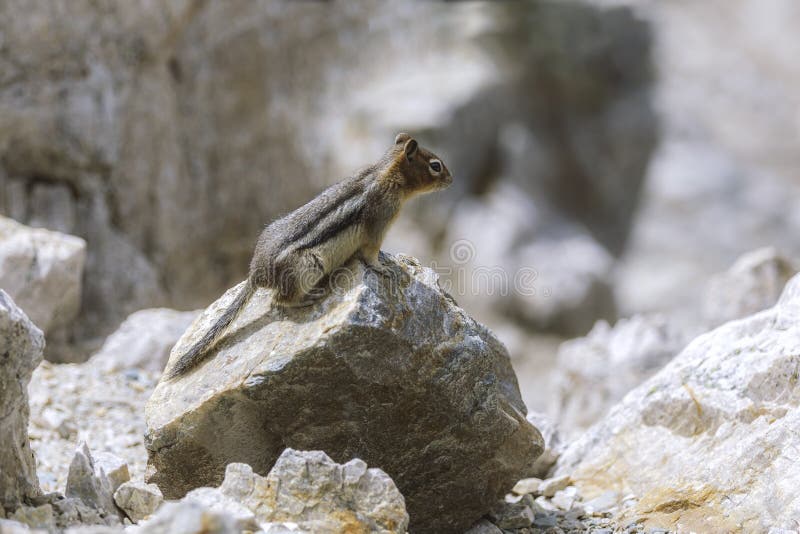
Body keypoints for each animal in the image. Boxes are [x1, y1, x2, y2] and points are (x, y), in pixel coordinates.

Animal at [166, 133, 452, 379]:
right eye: (436, 166)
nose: (451, 179)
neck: (387, 173)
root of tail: (256, 273)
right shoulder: (377, 225)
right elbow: (370, 254)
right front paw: (383, 268)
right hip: (308, 266)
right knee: (278, 302)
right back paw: (307, 299)